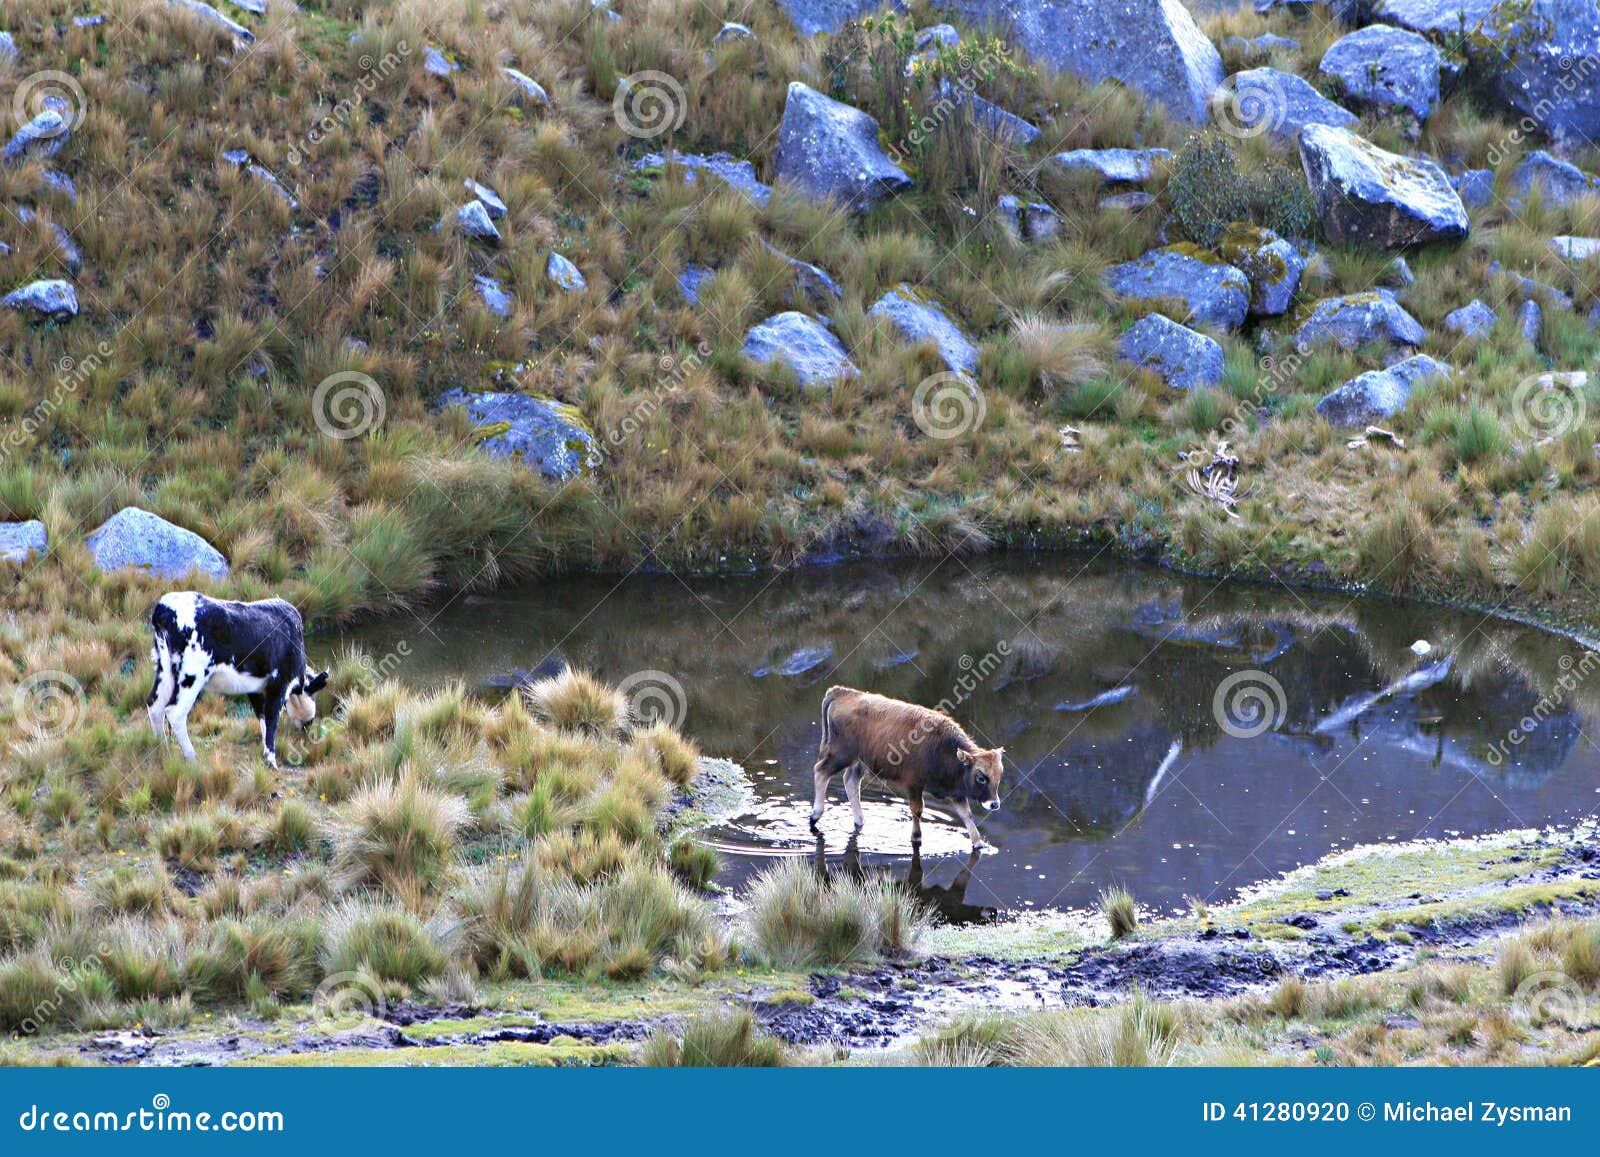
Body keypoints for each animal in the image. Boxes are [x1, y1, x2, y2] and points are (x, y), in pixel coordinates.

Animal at [147, 592, 328, 769]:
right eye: (314, 696)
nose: (309, 724)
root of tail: (164, 607)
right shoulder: (279, 684)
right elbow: (271, 719)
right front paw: (271, 761)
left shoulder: (255, 688)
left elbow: (262, 717)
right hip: (191, 676)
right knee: (174, 711)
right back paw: (191, 758)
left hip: (164, 670)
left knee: (154, 705)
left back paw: (162, 750)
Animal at [809, 686, 1004, 849]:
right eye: (981, 777)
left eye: (999, 776)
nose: (994, 804)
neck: (943, 747)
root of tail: (842, 692)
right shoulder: (914, 785)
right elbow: (917, 810)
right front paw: (916, 837)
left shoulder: (956, 793)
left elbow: (966, 815)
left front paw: (979, 844)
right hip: (841, 755)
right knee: (821, 771)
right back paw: (815, 814)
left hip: (859, 762)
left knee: (850, 781)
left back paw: (859, 821)